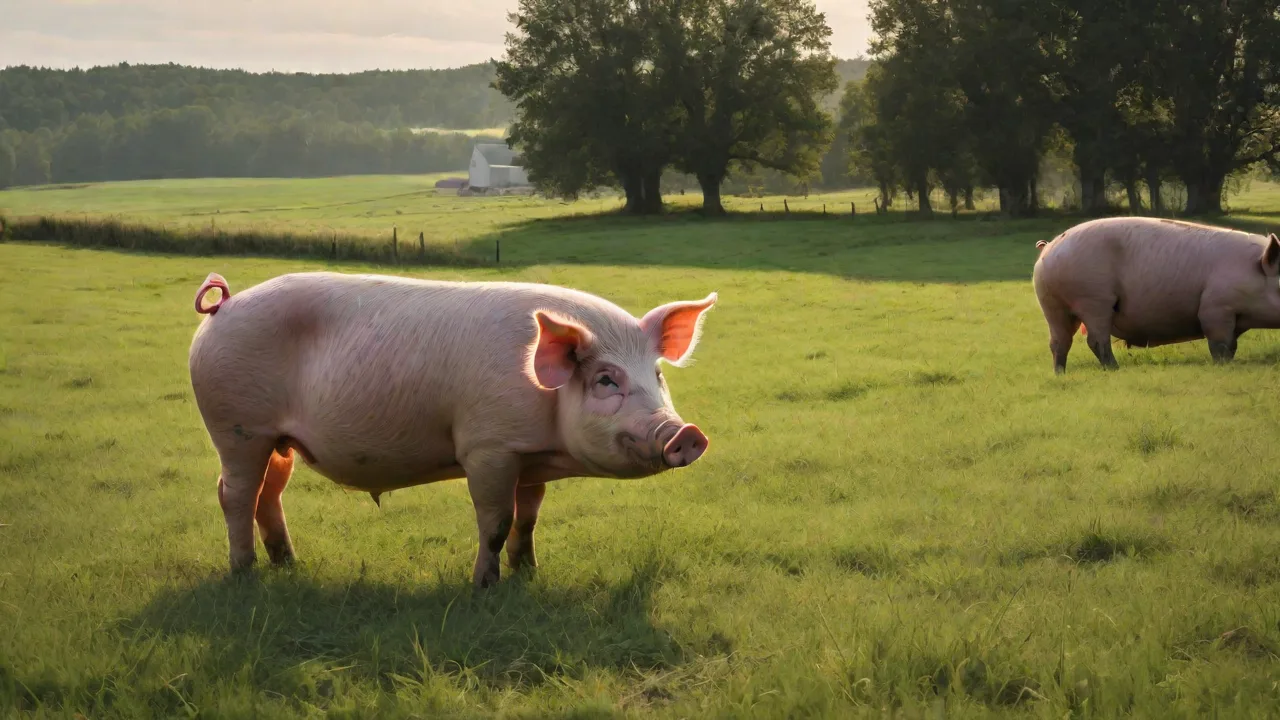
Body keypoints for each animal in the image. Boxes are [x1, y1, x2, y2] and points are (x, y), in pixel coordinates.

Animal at [188, 271, 716, 587]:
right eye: (607, 379)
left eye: (657, 374)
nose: (686, 433)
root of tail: (223, 307)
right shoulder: (488, 447)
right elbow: (496, 521)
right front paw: (485, 587)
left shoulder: (530, 458)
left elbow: (529, 517)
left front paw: (529, 573)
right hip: (236, 427)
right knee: (234, 493)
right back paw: (244, 573)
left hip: (277, 441)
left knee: (269, 492)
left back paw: (289, 564)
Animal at [1032, 216, 1280, 373]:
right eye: (1279, 286)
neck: (1250, 271)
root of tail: (1049, 248)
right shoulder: (1216, 309)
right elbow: (1223, 345)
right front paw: (1224, 366)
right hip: (1093, 300)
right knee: (1096, 340)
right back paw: (1115, 369)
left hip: (1053, 306)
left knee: (1059, 342)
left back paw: (1060, 373)